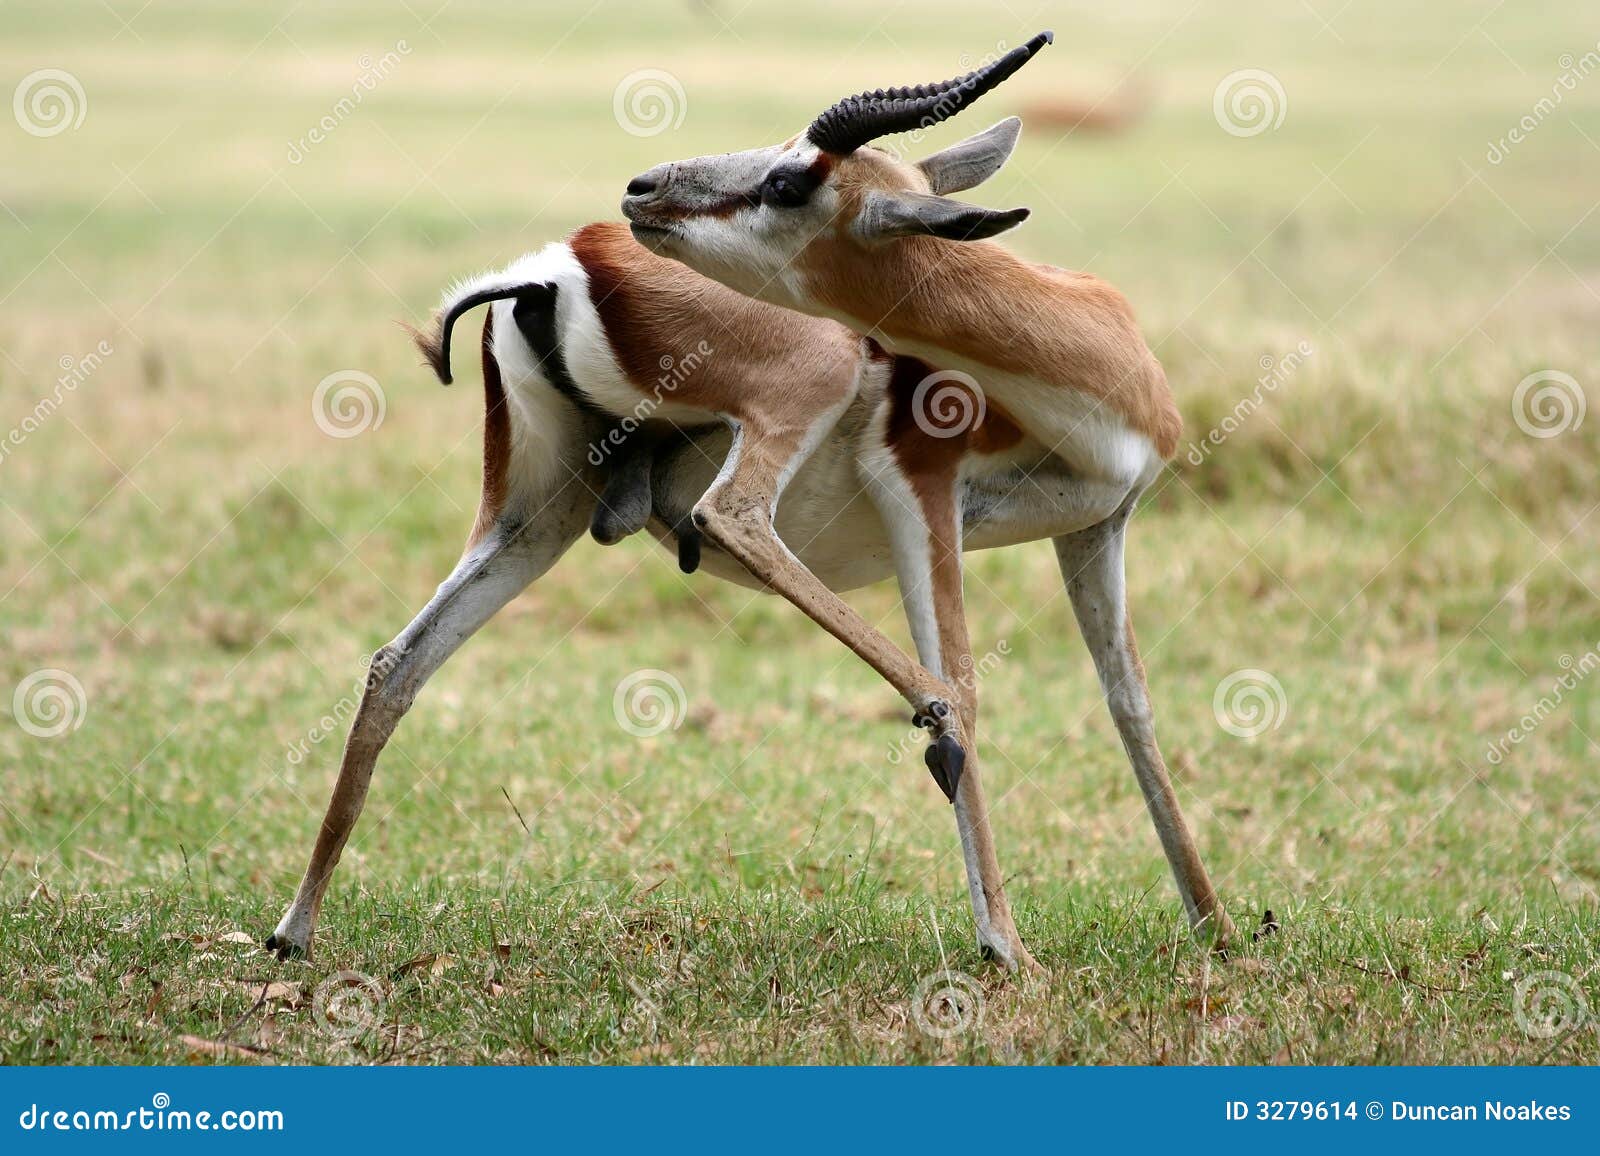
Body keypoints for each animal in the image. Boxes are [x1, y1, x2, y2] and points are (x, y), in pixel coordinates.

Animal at [622, 31, 1238, 951]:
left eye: (787, 180)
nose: (643, 188)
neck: (1090, 356)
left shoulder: (1101, 520)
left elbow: (1130, 700)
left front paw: (1220, 928)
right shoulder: (920, 487)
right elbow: (968, 688)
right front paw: (1006, 947)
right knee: (729, 515)